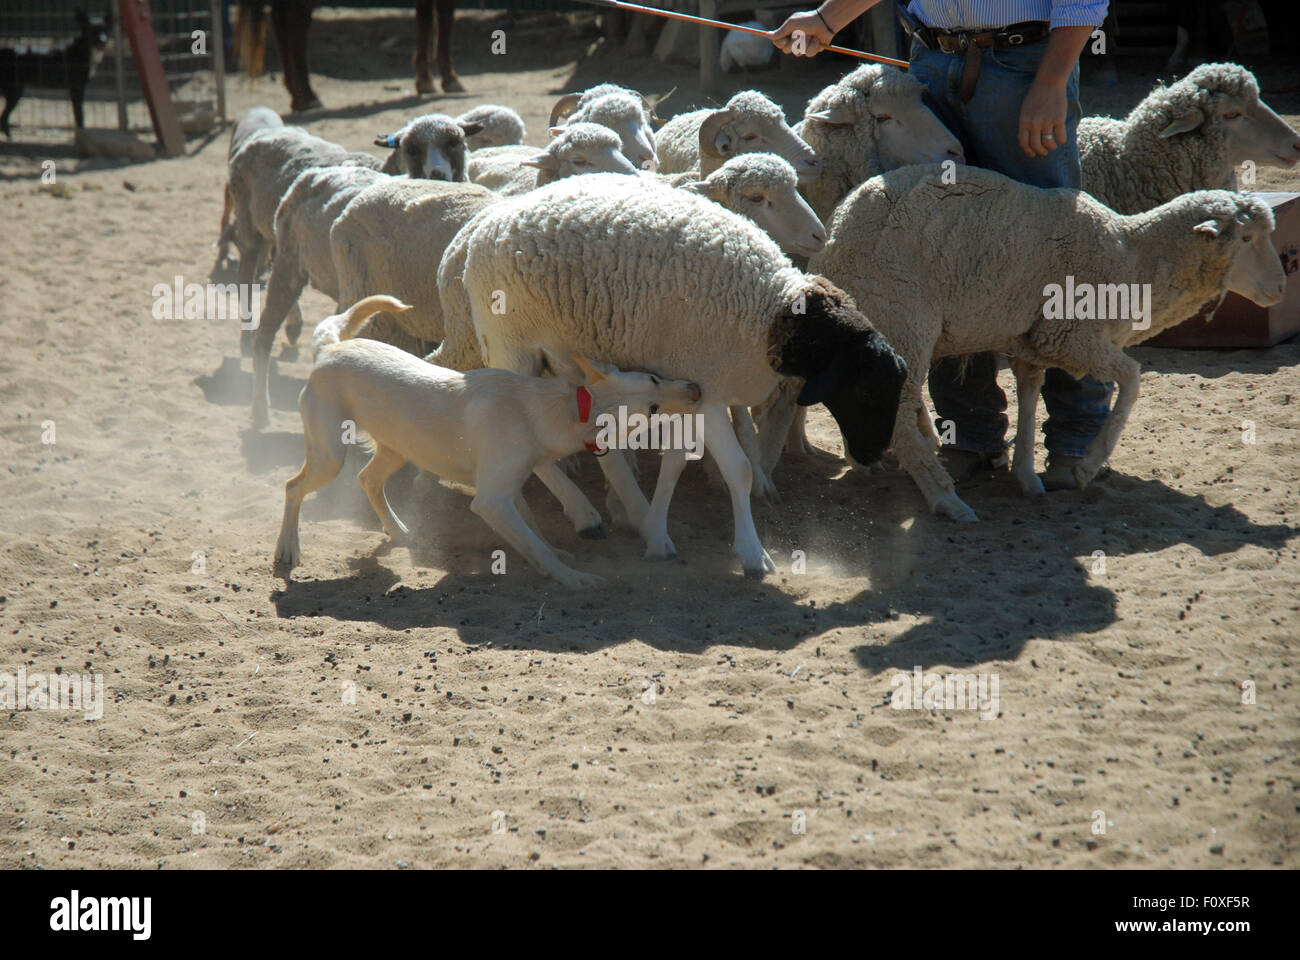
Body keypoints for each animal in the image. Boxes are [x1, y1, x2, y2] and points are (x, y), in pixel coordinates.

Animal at [447, 173, 907, 577]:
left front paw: (655, 531)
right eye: (866, 392)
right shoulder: (708, 384)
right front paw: (752, 554)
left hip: (571, 352)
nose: (873, 457)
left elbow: (675, 460)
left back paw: (626, 509)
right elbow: (738, 469)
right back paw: (583, 513)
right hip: (511, 343)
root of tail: (484, 224)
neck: (774, 313)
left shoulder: (688, 386)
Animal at [782, 164, 1284, 523]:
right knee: (902, 415)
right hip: (904, 318)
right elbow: (1132, 380)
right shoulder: (1070, 333)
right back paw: (945, 497)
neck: (1131, 259)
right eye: (1246, 237)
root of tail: (834, 240)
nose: (1280, 288)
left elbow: (1029, 398)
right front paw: (1085, 466)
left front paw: (1027, 476)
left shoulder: (1031, 340)